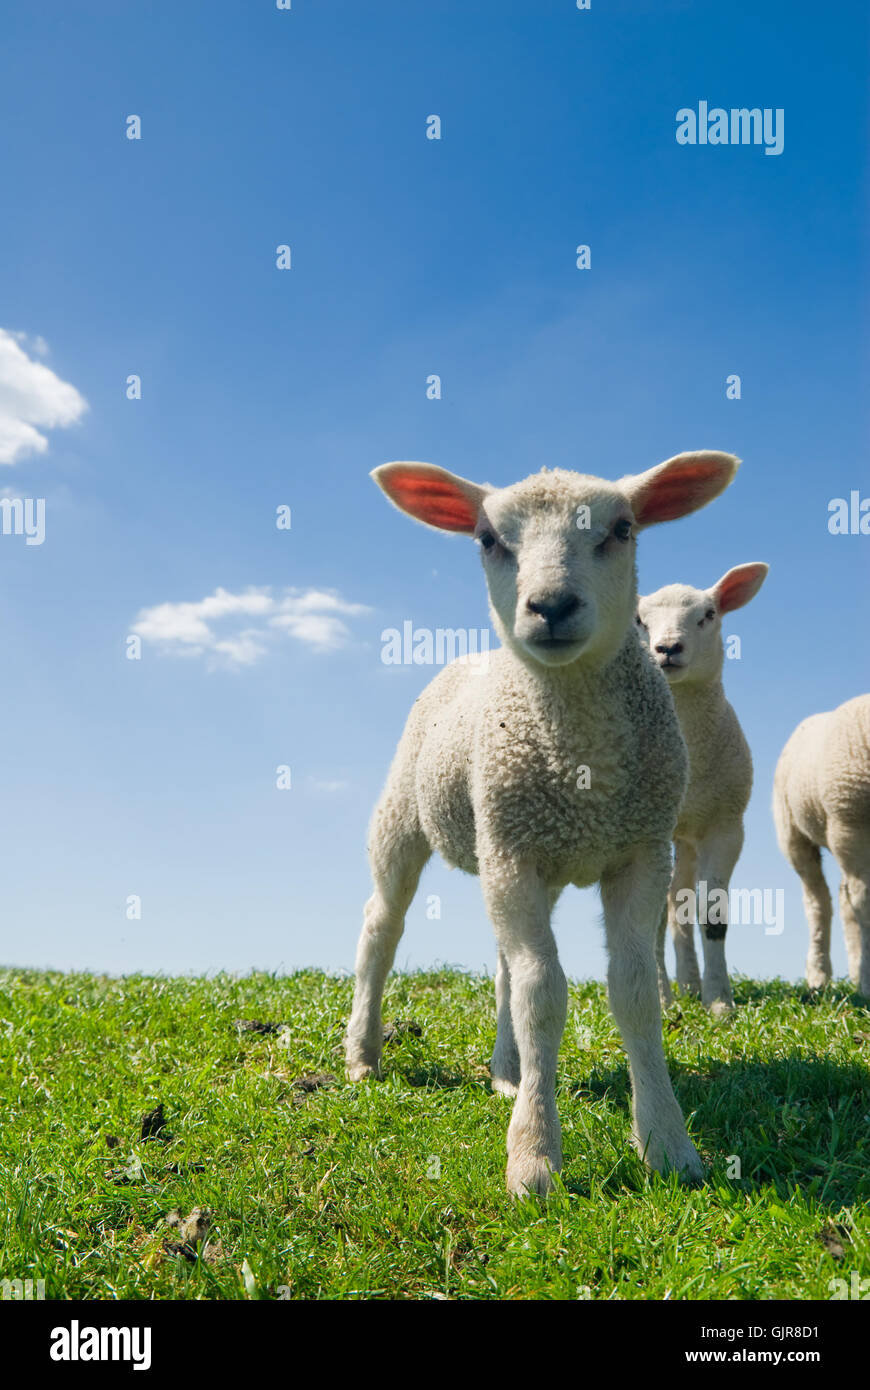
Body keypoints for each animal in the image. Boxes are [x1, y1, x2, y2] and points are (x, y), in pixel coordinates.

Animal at [345, 450, 740, 1197]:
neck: (583, 764)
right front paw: (533, 1158)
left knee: (504, 963)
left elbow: (631, 990)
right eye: (487, 540)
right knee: (382, 926)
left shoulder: (639, 850)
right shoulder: (515, 852)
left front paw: (668, 1144)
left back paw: (506, 1071)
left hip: (525, 853)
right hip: (410, 818)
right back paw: (362, 1052)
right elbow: (544, 993)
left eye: (622, 529)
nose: (552, 606)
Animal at [636, 564, 769, 1016]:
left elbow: (712, 915)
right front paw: (659, 1000)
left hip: (690, 836)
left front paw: (719, 1002)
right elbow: (651, 919)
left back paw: (691, 985)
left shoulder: (726, 827)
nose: (667, 648)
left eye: (708, 614)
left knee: (680, 900)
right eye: (638, 621)